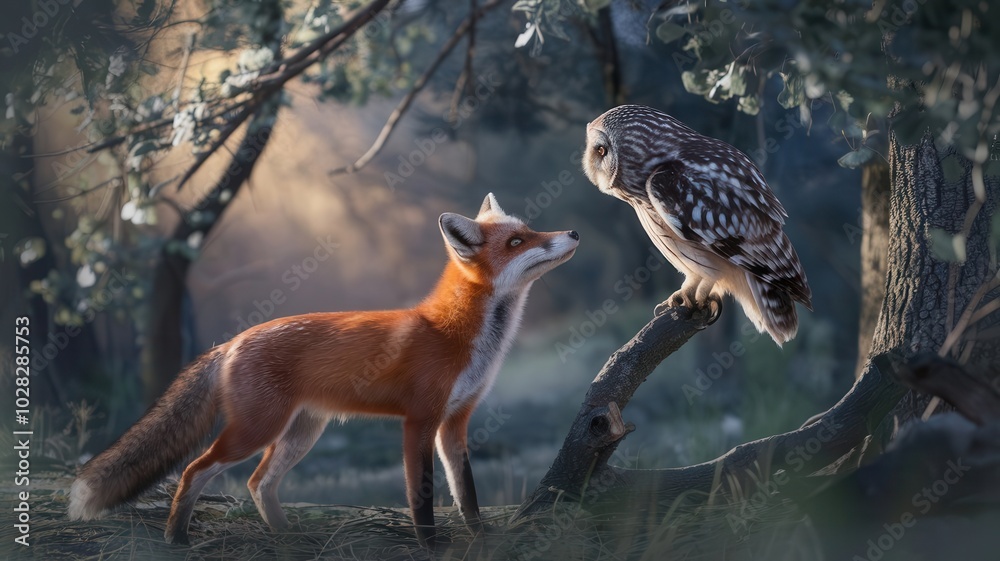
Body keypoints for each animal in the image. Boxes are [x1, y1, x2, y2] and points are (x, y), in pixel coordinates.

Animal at [67, 193, 579, 547]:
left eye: (530, 229)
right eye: (517, 241)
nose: (573, 234)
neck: (456, 335)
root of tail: (230, 343)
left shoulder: (455, 423)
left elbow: (467, 495)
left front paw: (481, 539)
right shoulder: (419, 422)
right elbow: (422, 499)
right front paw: (431, 547)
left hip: (302, 433)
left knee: (258, 482)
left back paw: (287, 539)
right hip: (256, 431)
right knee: (195, 470)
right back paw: (176, 538)